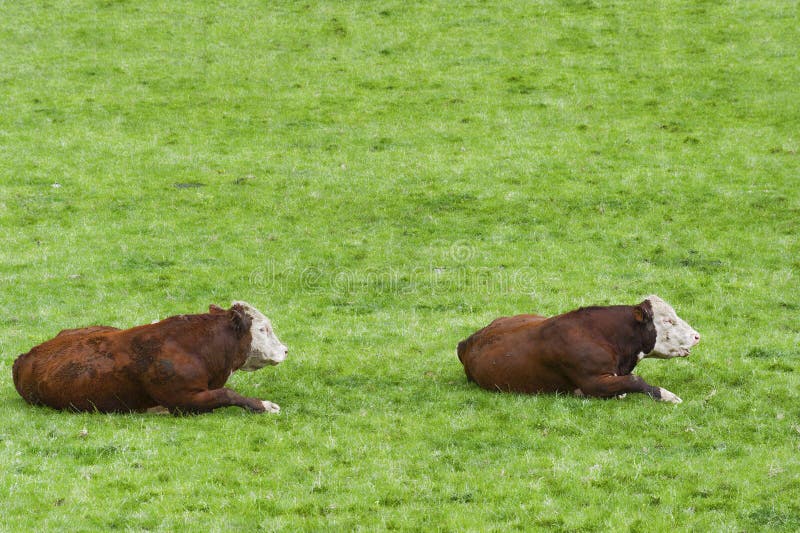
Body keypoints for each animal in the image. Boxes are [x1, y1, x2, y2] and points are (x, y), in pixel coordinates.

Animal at [12, 301, 288, 414]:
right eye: (262, 329)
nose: (285, 350)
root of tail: (26, 355)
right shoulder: (183, 401)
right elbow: (227, 394)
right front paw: (265, 405)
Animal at [456, 295, 700, 404]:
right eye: (667, 321)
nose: (697, 336)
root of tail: (467, 342)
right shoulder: (592, 383)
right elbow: (635, 380)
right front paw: (666, 395)